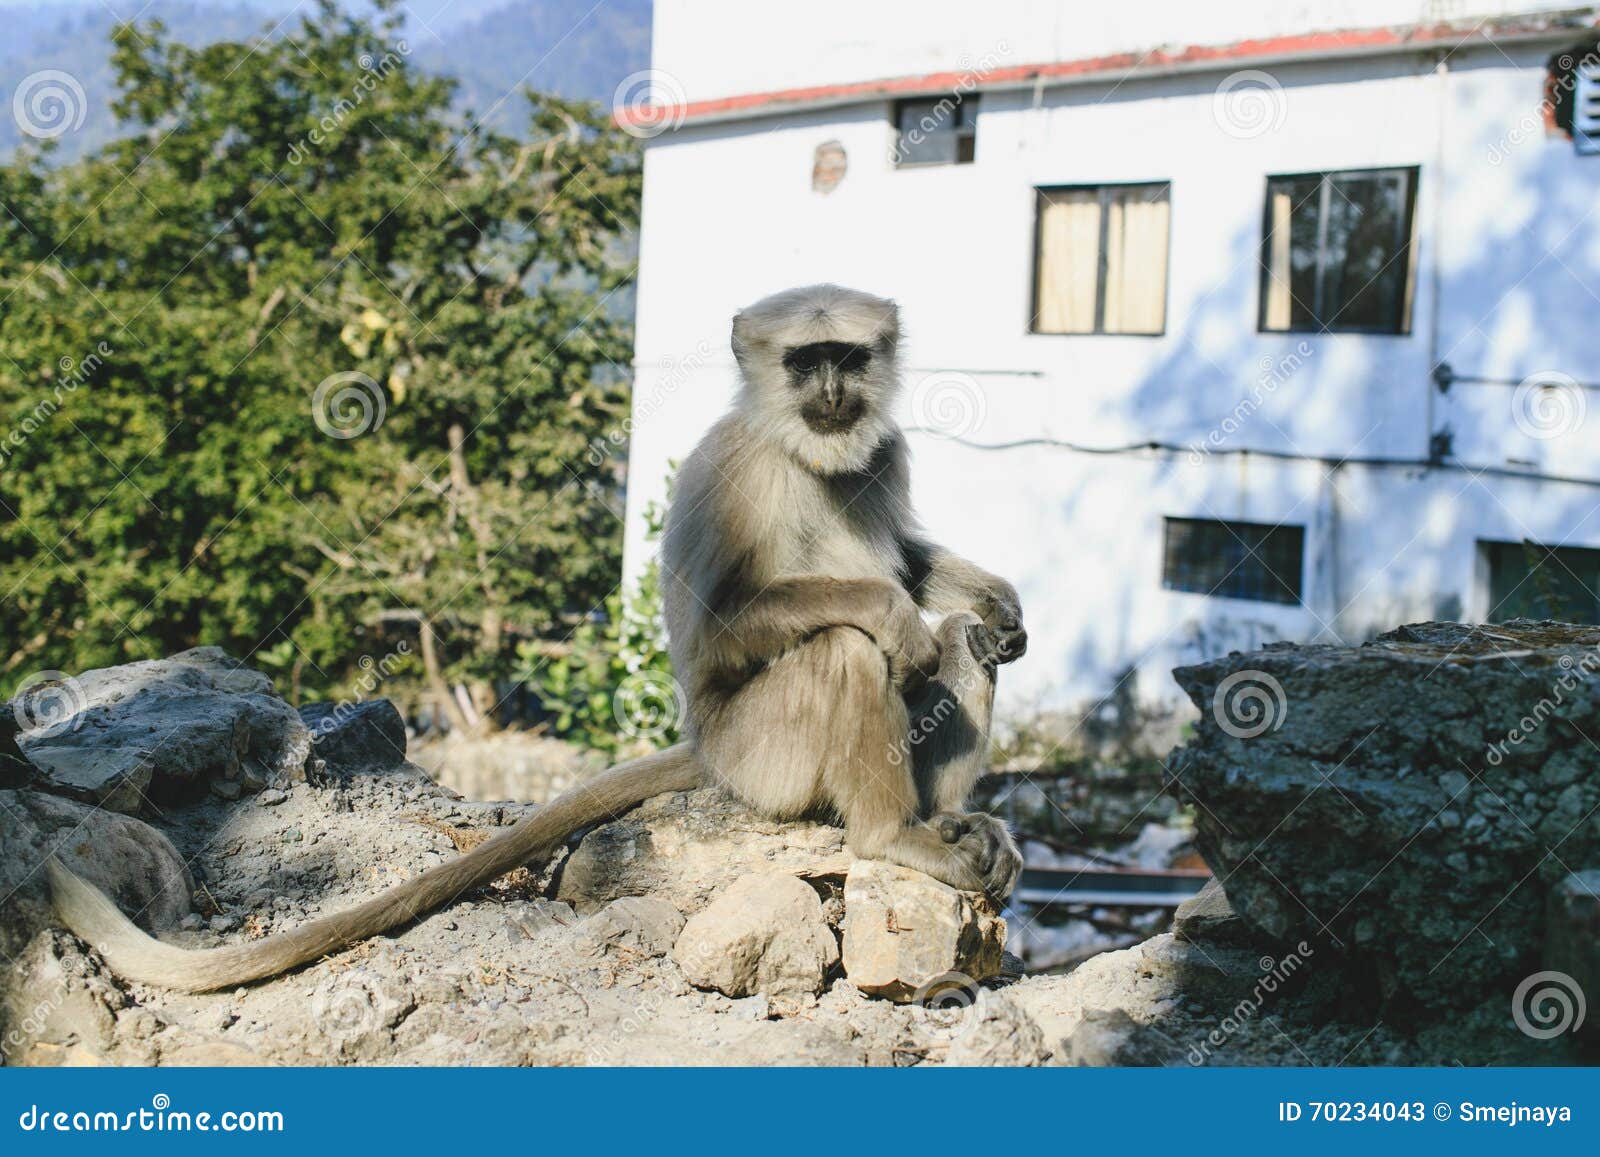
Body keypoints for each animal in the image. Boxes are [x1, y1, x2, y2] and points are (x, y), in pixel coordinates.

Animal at [47, 284, 1026, 993]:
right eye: (804, 361)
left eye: (847, 360)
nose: (830, 394)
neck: (805, 450)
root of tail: (705, 750)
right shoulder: (736, 470)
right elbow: (752, 621)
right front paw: (894, 613)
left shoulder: (882, 450)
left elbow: (913, 564)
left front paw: (1000, 602)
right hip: (762, 757)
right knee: (847, 648)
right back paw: (891, 834)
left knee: (961, 643)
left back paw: (942, 808)